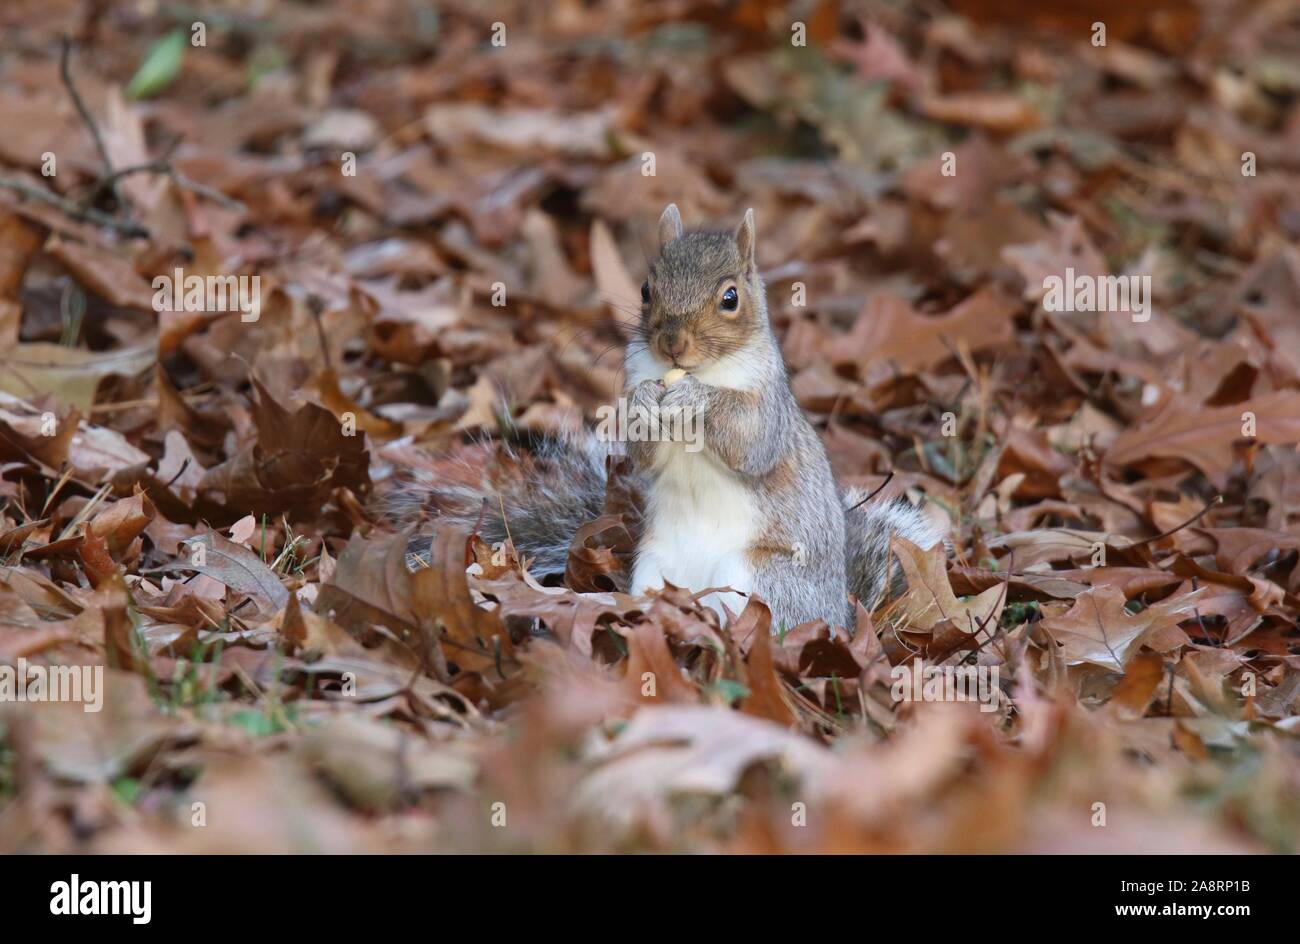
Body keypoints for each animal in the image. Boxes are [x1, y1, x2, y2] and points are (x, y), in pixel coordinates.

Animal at [397, 204, 946, 631]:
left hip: (761, 579)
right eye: (645, 289)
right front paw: (644, 401)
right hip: (653, 565)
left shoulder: (766, 409)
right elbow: (644, 452)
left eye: (731, 298)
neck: (695, 370)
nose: (672, 343)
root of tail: (836, 617)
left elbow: (749, 442)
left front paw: (695, 398)